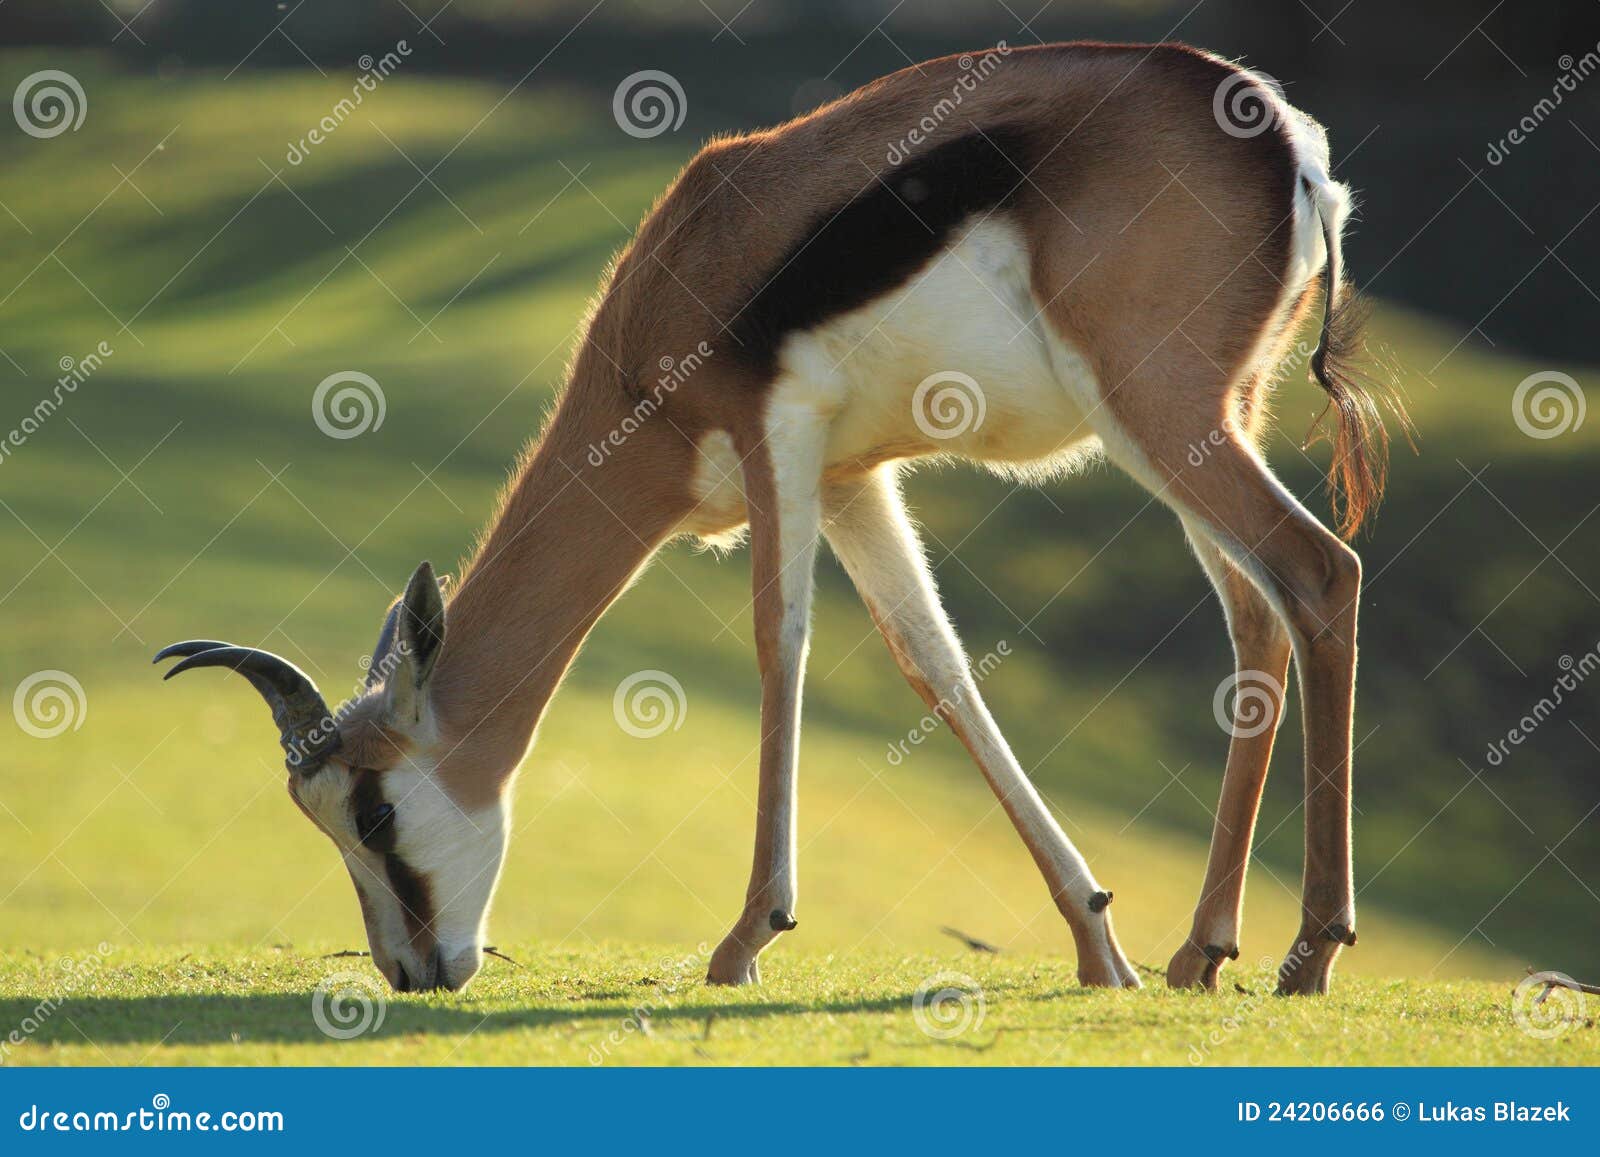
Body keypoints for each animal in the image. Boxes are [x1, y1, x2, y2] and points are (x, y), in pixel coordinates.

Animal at [158, 41, 1392, 995]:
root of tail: (1278, 130)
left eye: (370, 813)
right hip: (1215, 416)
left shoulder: (777, 438)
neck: (664, 300)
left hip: (1157, 411)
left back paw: (1309, 952)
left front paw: (745, 939)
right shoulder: (852, 480)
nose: (413, 970)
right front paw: (1098, 945)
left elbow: (779, 647)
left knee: (1319, 571)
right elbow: (936, 668)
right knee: (1257, 618)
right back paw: (1199, 952)